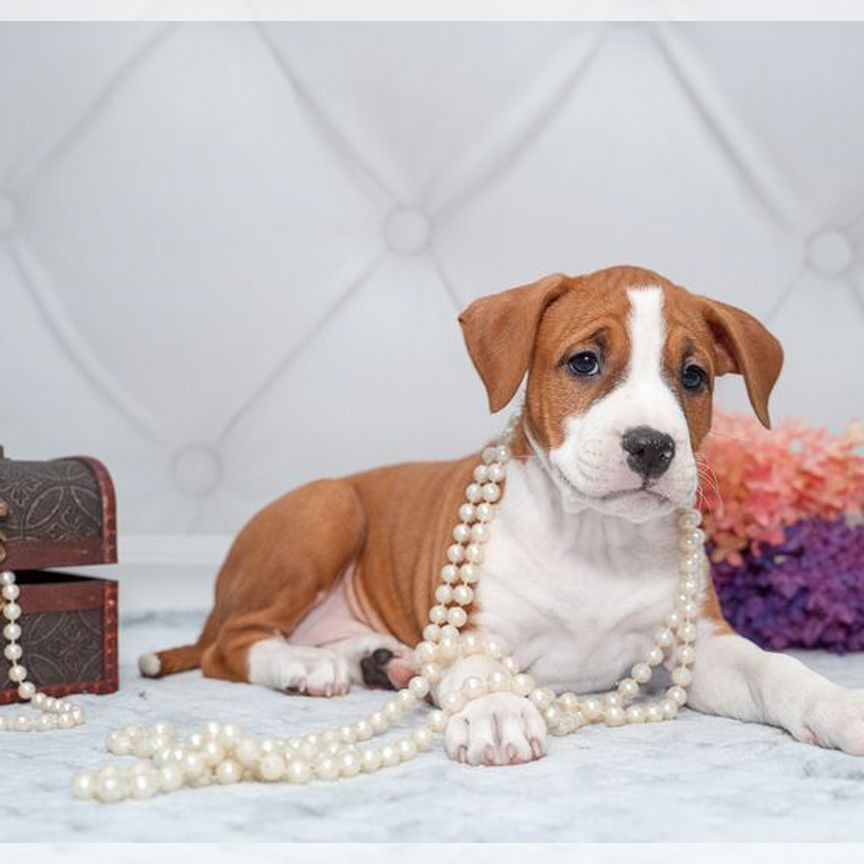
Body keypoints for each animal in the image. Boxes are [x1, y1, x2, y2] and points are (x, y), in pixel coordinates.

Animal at [141, 265, 864, 765]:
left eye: (693, 377)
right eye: (584, 361)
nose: (652, 446)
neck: (595, 539)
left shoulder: (703, 647)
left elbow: (774, 668)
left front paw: (836, 704)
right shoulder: (471, 635)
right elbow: (480, 670)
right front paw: (495, 709)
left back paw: (382, 662)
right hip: (327, 510)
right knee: (230, 645)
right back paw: (302, 667)